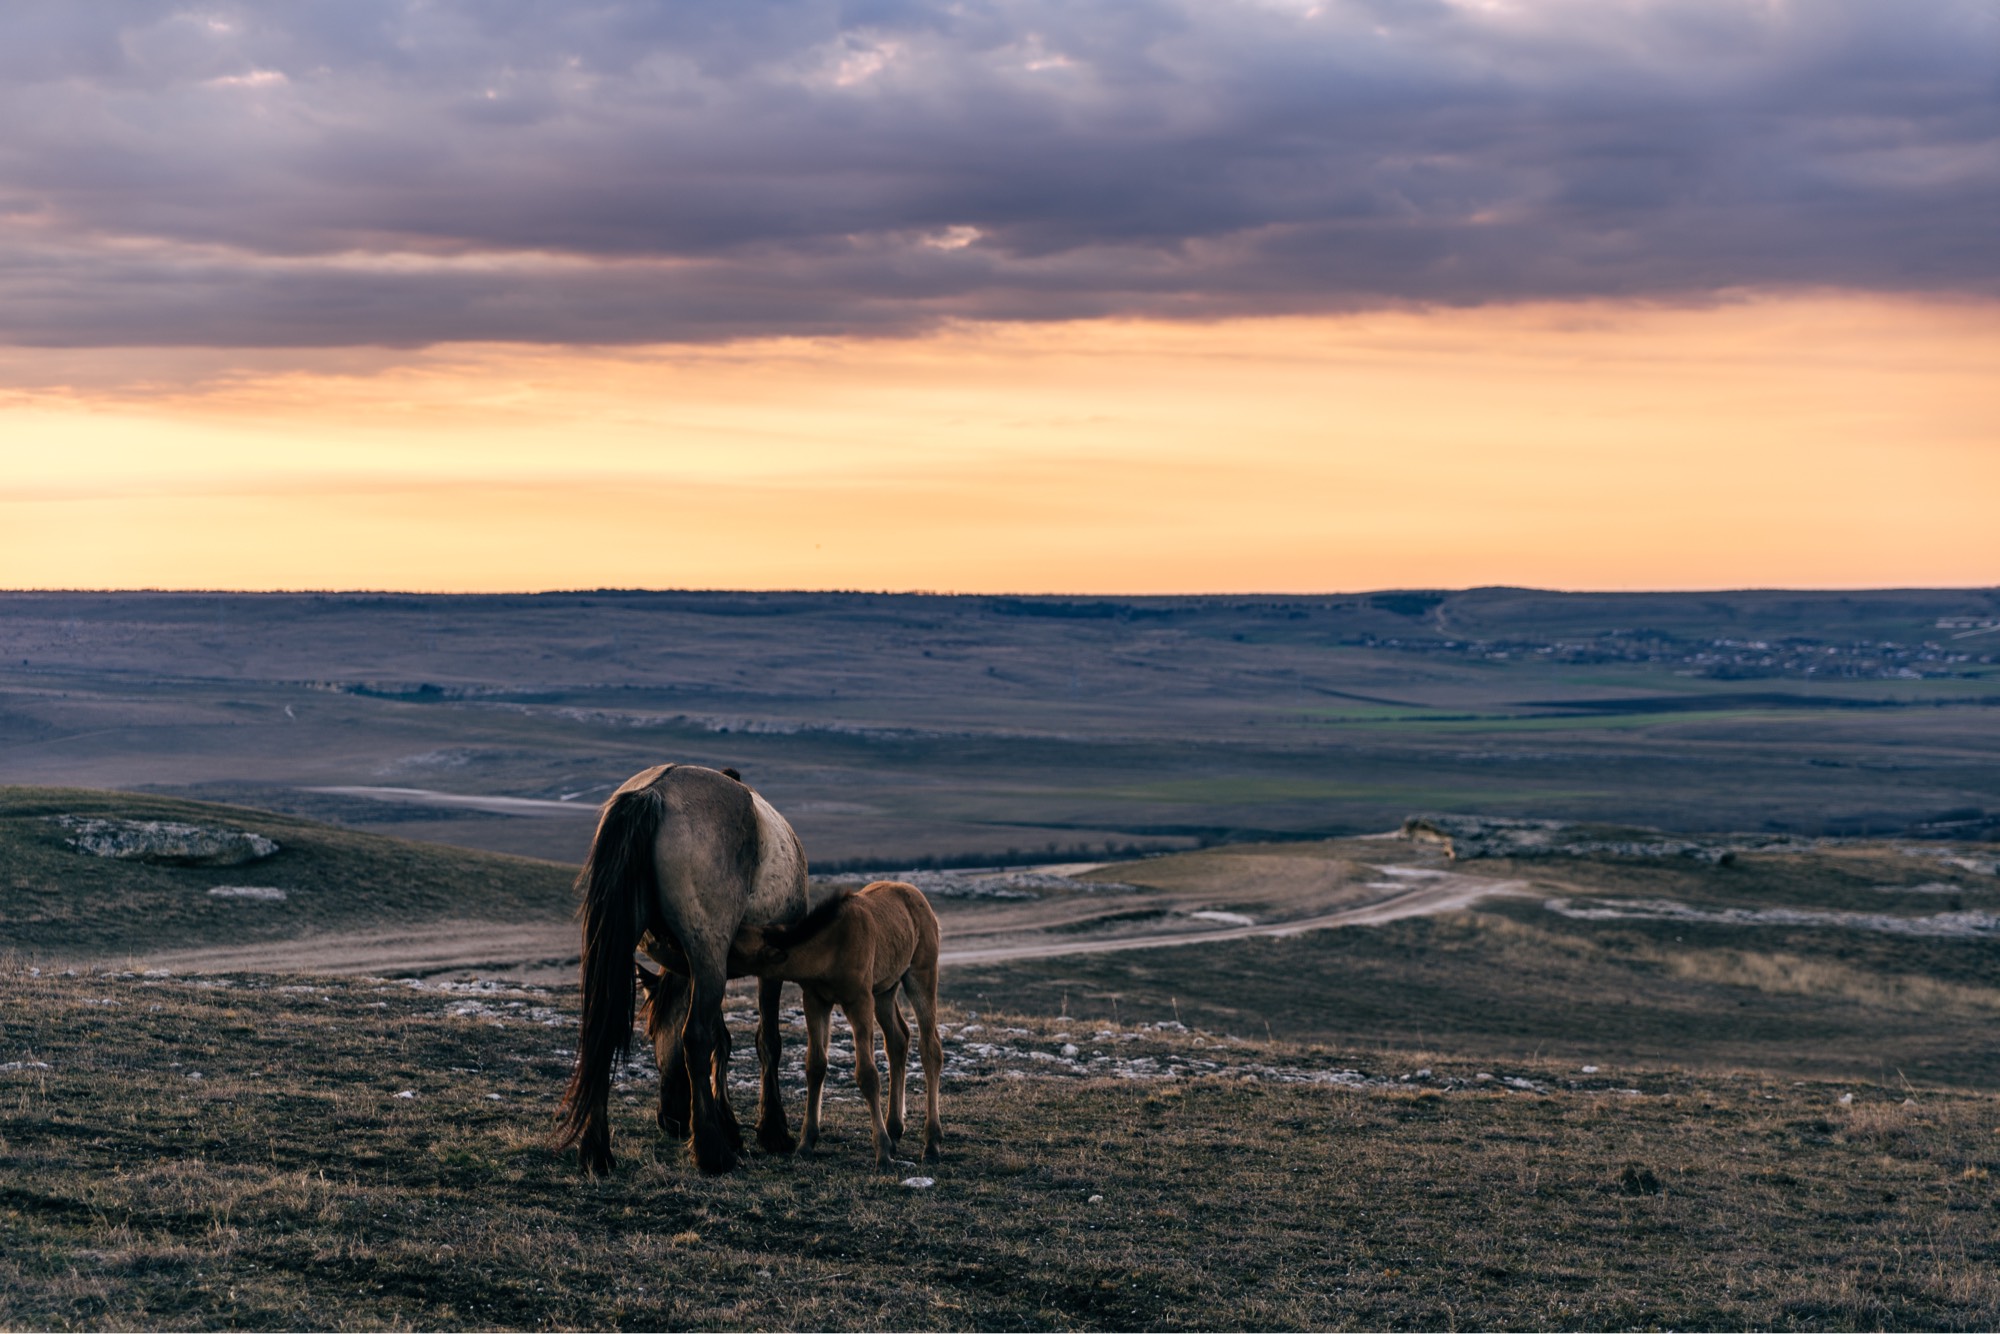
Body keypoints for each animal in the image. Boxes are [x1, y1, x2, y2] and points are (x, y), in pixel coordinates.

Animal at [556, 768, 804, 1176]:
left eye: (652, 1031)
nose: (669, 1119)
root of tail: (652, 794)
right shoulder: (755, 965)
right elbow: (764, 1040)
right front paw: (770, 1130)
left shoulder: (707, 970)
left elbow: (724, 1041)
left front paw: (730, 1125)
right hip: (707, 951)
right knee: (696, 1038)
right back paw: (710, 1152)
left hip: (636, 945)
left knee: (603, 1034)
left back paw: (596, 1152)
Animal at [736, 888, 944, 1168]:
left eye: (735, 947)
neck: (831, 945)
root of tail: (919, 898)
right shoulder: (816, 1001)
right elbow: (815, 1066)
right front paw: (806, 1143)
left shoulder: (859, 1001)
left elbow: (867, 1074)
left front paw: (882, 1152)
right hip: (884, 991)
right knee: (898, 1039)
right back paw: (894, 1129)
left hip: (920, 975)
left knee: (930, 1047)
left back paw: (931, 1141)